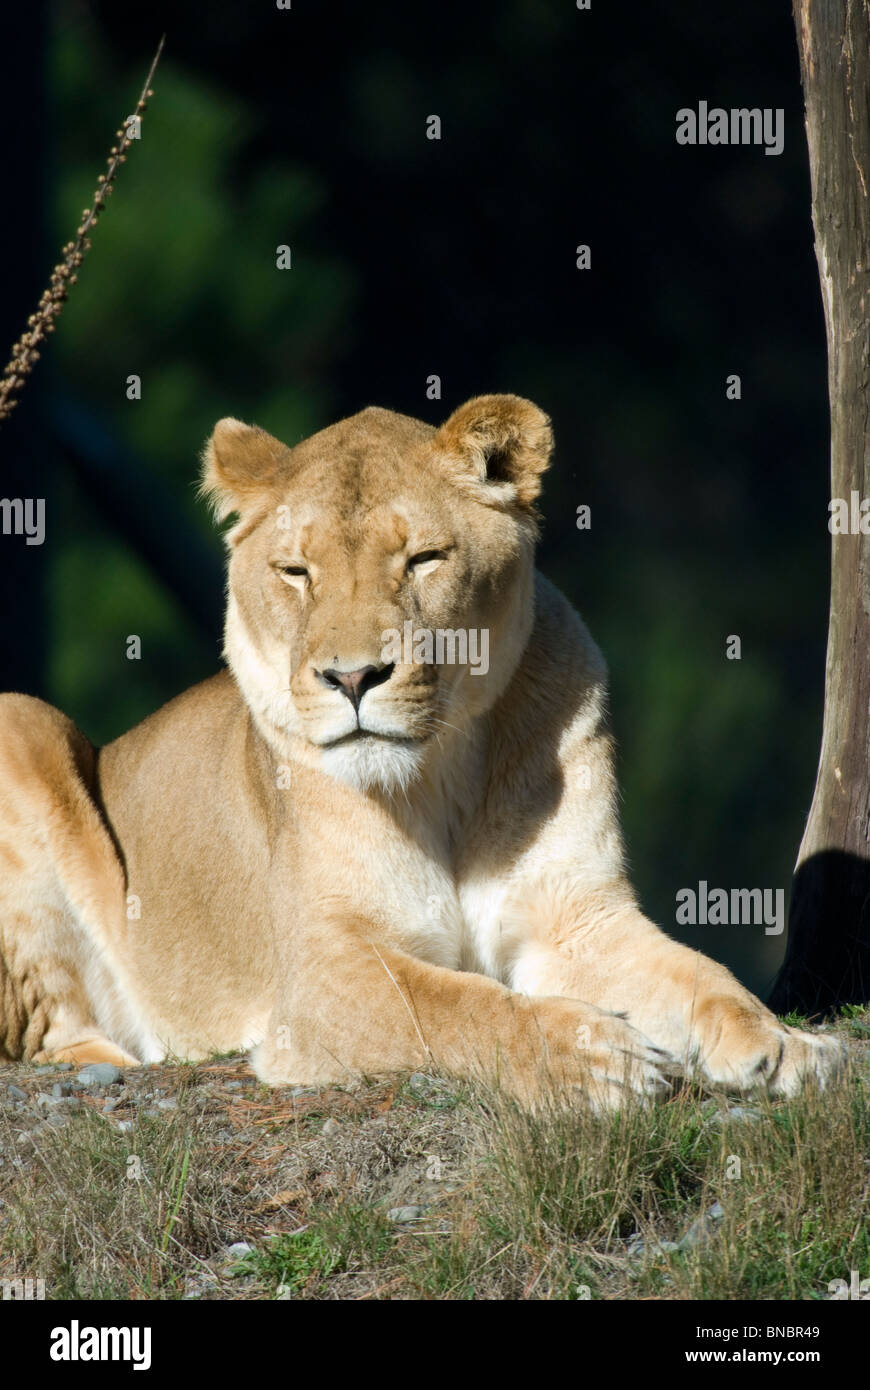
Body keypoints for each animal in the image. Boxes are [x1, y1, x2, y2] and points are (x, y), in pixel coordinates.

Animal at [0, 395, 843, 1107]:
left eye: (424, 559)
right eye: (296, 572)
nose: (352, 677)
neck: (440, 780)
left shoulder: (576, 919)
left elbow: (698, 974)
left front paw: (784, 1045)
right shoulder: (322, 976)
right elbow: (448, 1003)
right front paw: (593, 1058)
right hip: (21, 719)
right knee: (50, 1037)